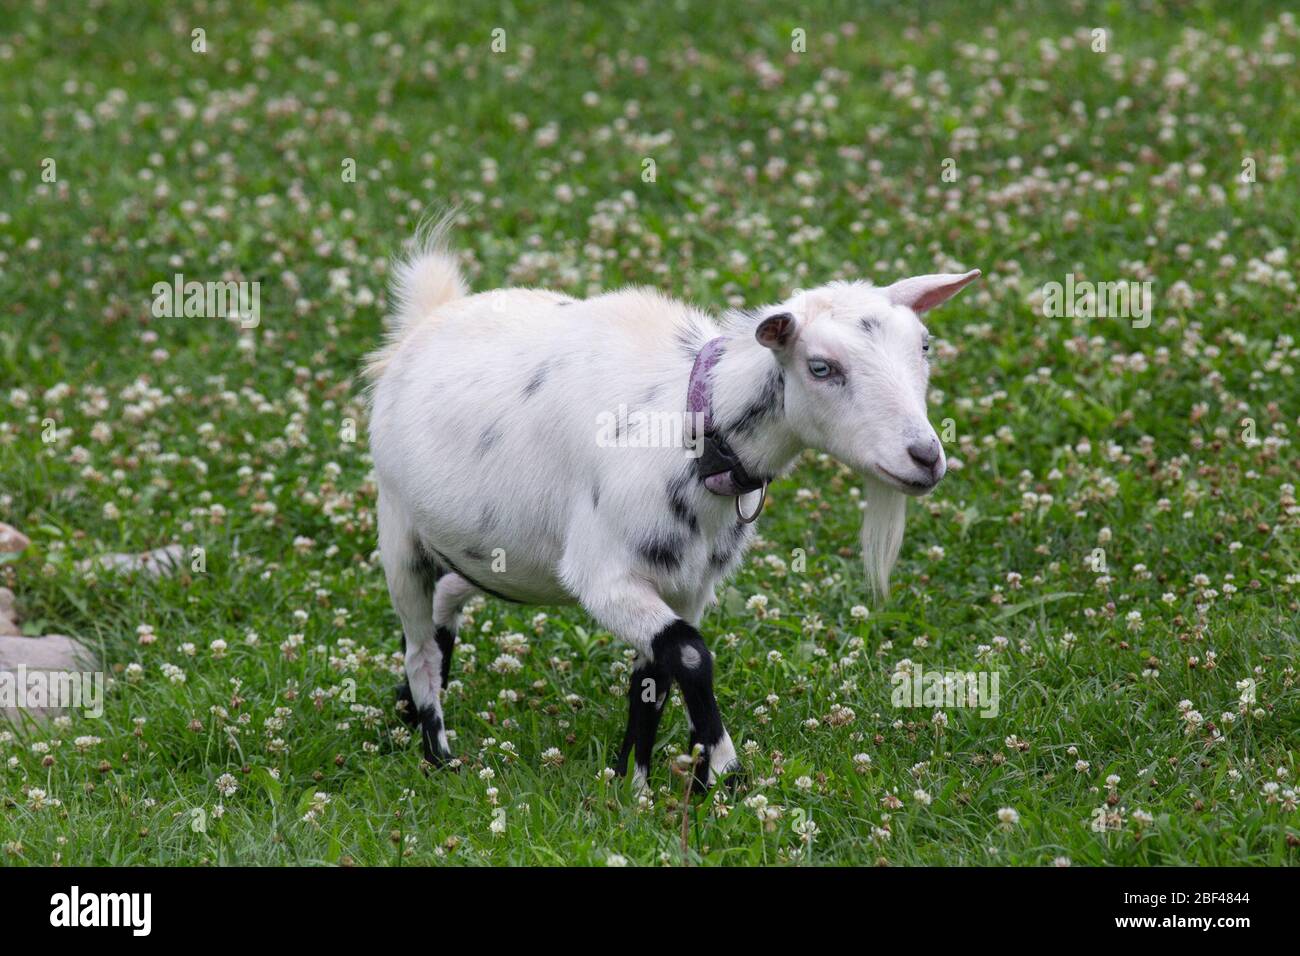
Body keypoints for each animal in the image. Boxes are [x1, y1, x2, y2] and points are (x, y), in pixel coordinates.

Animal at [365, 220, 979, 791]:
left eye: (925, 347)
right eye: (821, 367)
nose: (925, 458)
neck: (691, 426)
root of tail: (427, 318)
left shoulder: (685, 582)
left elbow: (653, 679)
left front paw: (633, 784)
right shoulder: (605, 575)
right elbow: (688, 655)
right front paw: (727, 775)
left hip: (495, 555)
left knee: (446, 600)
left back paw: (407, 711)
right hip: (398, 529)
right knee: (420, 645)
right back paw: (438, 752)